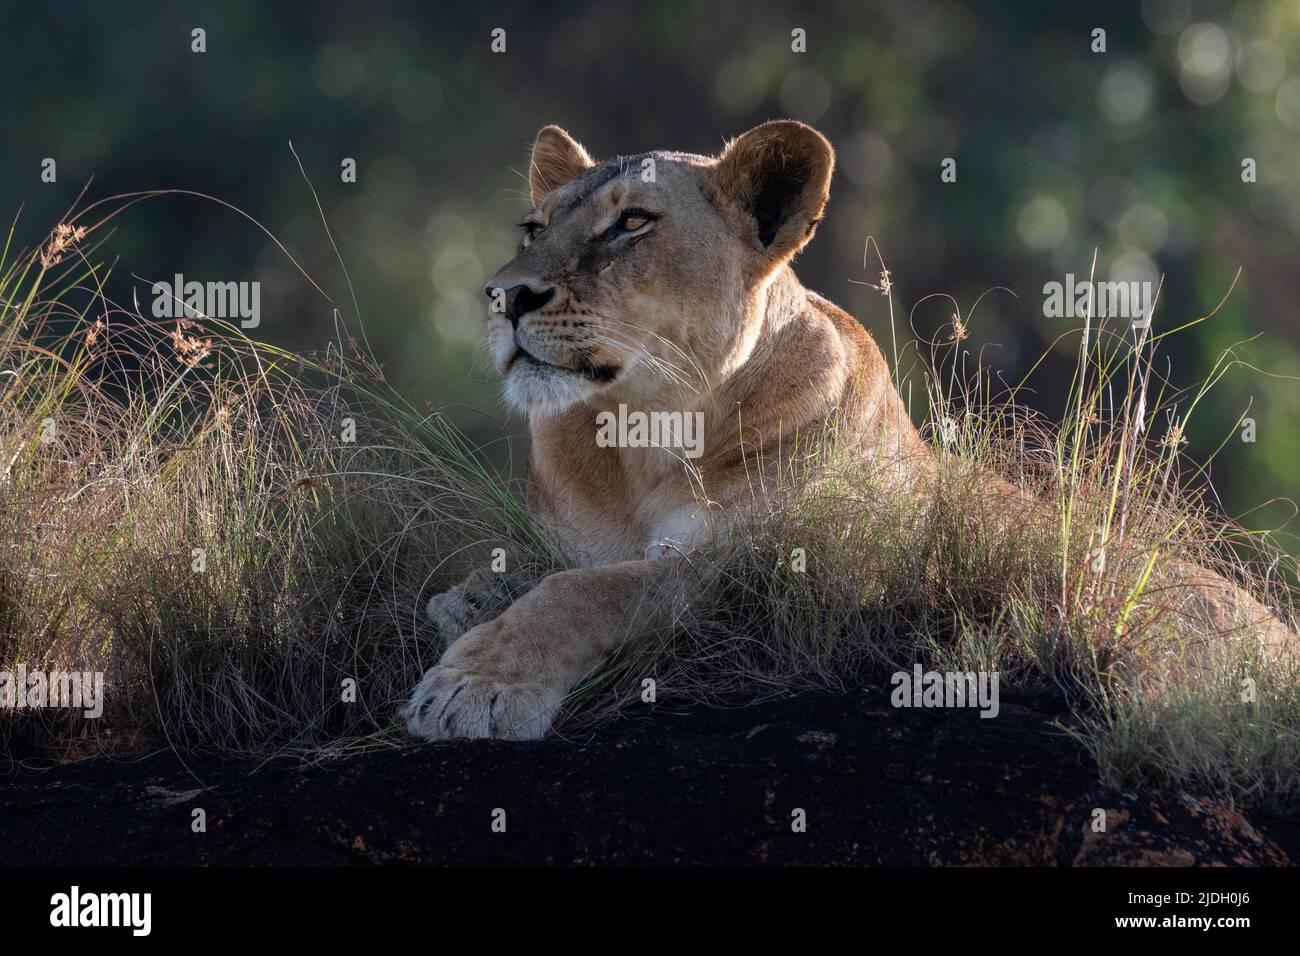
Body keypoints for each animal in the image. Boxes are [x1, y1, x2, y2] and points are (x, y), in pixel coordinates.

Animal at [402, 121, 1291, 741]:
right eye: (533, 227)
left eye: (631, 225)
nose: (504, 296)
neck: (643, 439)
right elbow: (532, 572)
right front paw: (466, 601)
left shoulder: (771, 575)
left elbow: (590, 591)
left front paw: (475, 686)